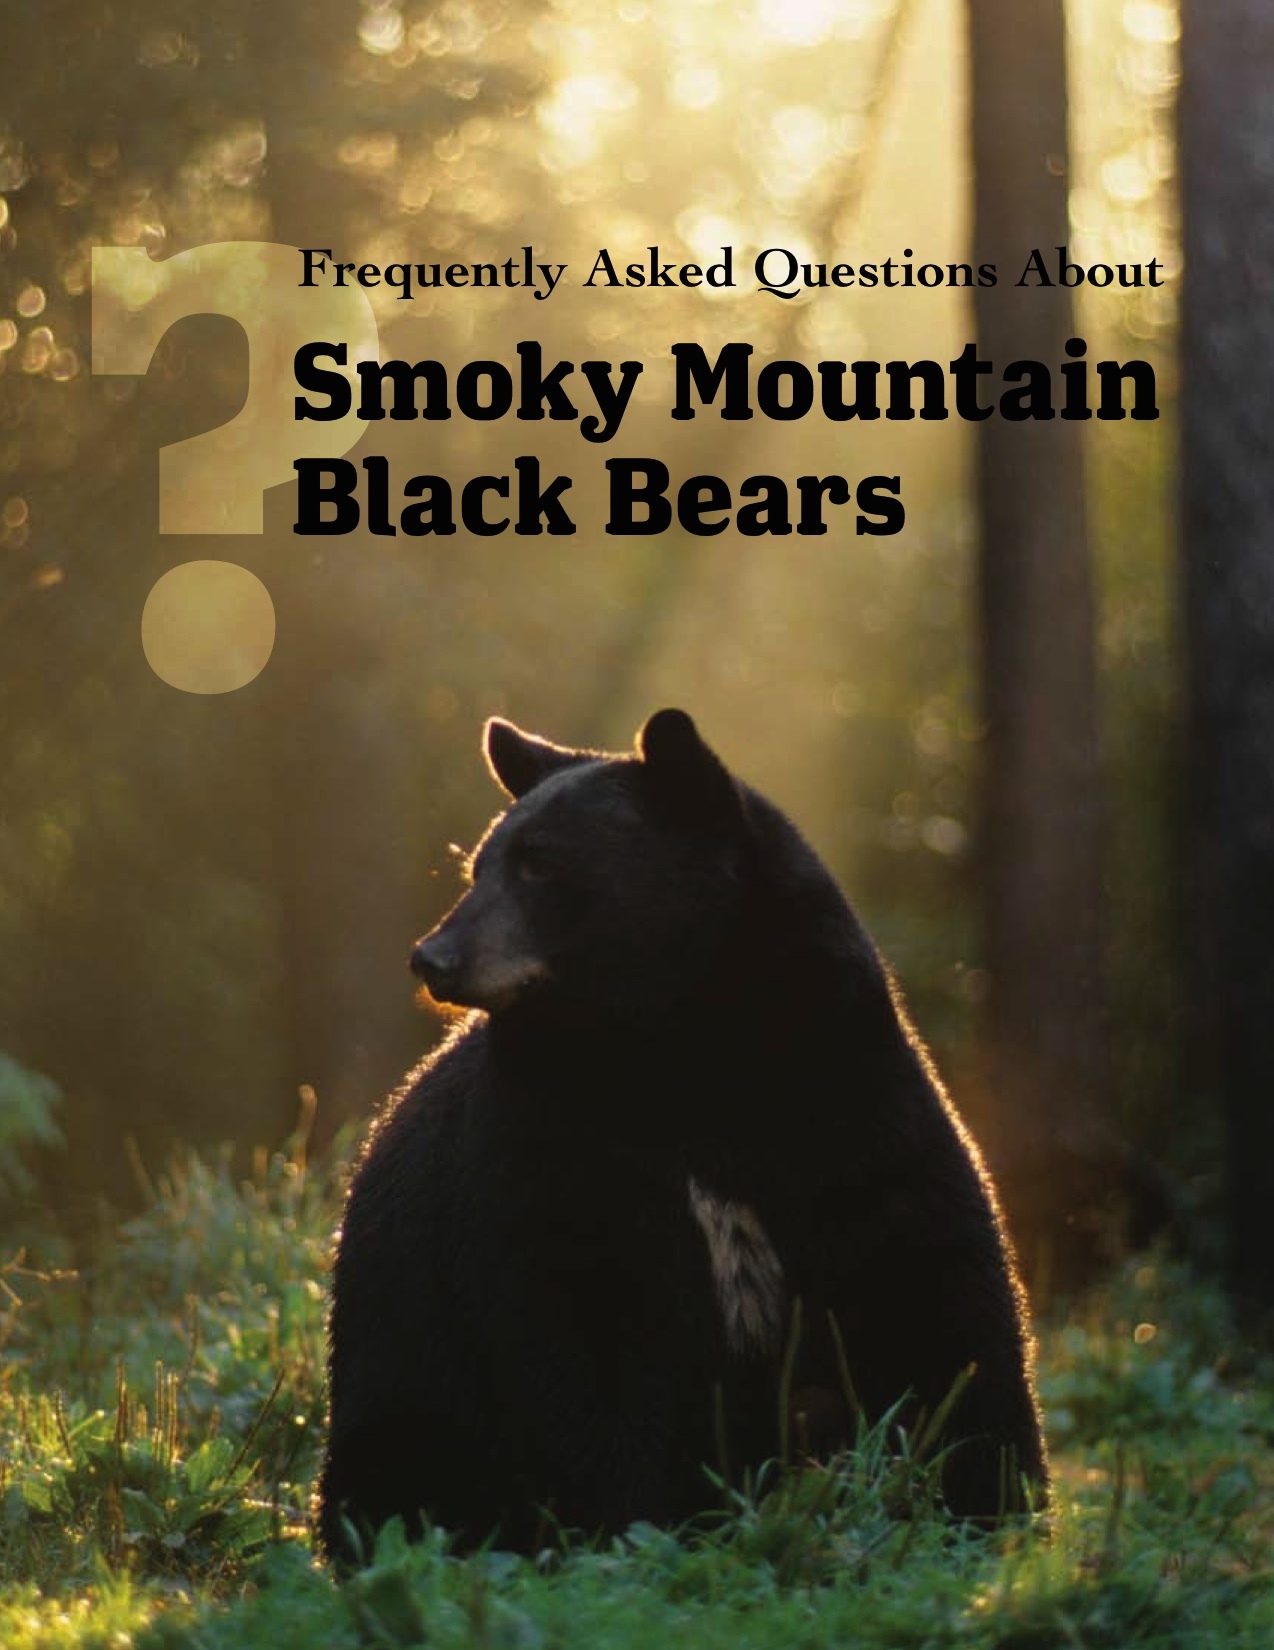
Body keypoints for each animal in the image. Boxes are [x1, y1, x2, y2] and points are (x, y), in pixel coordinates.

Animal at [317, 708, 1049, 1563]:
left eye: (540, 865)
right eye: (480, 867)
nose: (432, 956)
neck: (680, 1051)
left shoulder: (847, 1107)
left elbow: (937, 1297)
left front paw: (991, 1504)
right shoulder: (544, 1146)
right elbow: (575, 1334)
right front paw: (623, 1529)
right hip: (395, 1377)